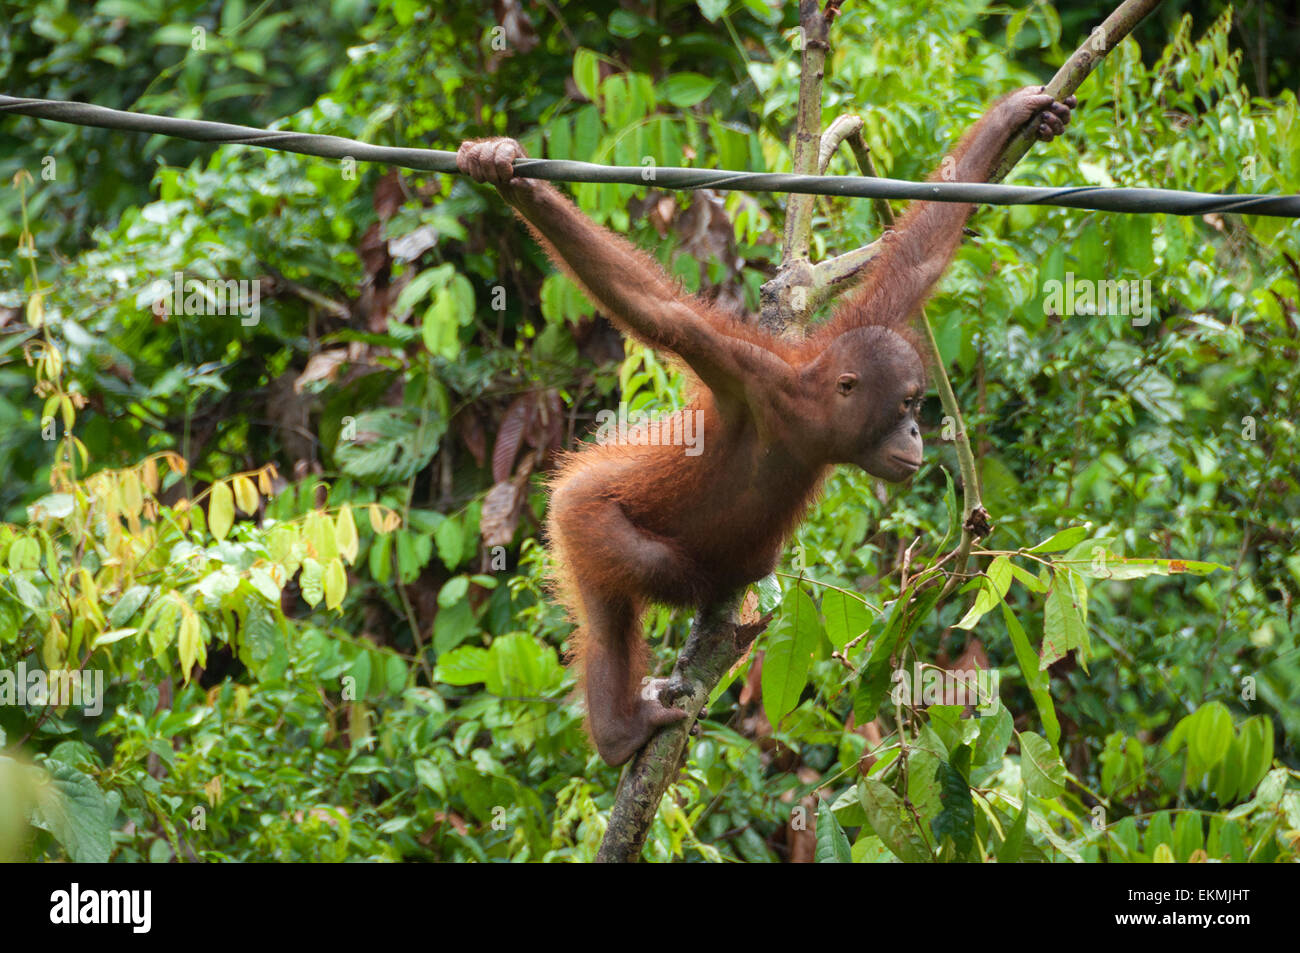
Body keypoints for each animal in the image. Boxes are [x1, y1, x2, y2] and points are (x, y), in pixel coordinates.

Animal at [457, 86, 1075, 765]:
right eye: (907, 407)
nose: (916, 434)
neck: (809, 418)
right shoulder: (746, 374)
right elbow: (653, 307)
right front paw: (509, 175)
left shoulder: (865, 321)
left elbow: (920, 257)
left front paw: (1016, 116)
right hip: (579, 507)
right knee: (637, 580)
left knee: (608, 616)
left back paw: (619, 731)